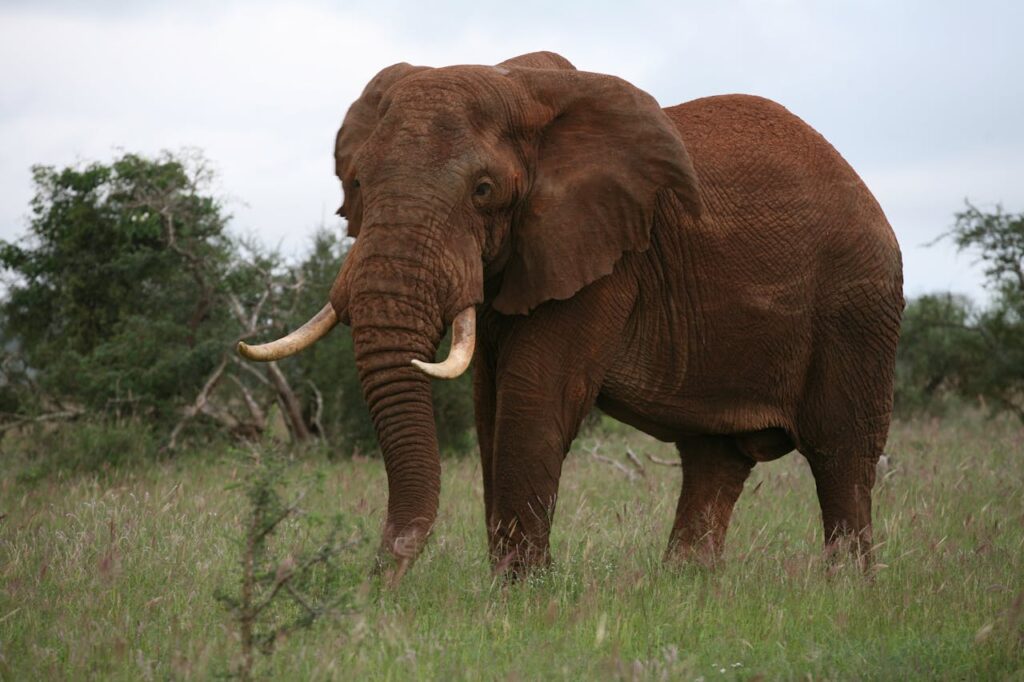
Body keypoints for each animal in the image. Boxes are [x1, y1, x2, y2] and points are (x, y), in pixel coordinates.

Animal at [239, 50, 905, 577]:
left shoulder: (606, 258)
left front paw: (519, 599)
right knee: (713, 459)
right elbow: (489, 407)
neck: (521, 84)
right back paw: (685, 591)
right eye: (355, 182)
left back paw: (845, 594)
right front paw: (512, 589)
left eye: (483, 191)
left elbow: (534, 398)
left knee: (842, 458)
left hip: (859, 306)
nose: (381, 579)